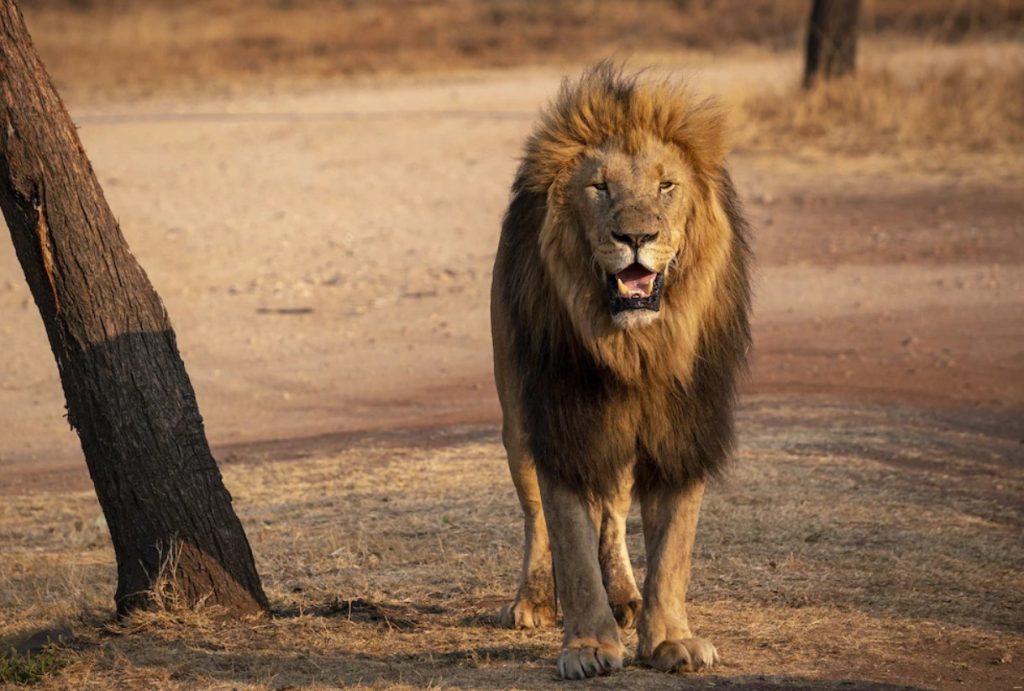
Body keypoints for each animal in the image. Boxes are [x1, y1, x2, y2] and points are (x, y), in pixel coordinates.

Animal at [490, 64, 751, 679]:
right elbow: (569, 540)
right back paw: (533, 600)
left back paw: (627, 596)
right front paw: (588, 646)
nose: (636, 237)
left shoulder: (682, 429)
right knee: (536, 514)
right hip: (517, 419)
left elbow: (673, 549)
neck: (636, 349)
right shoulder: (563, 422)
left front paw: (670, 639)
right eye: (599, 188)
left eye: (666, 186)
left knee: (612, 508)